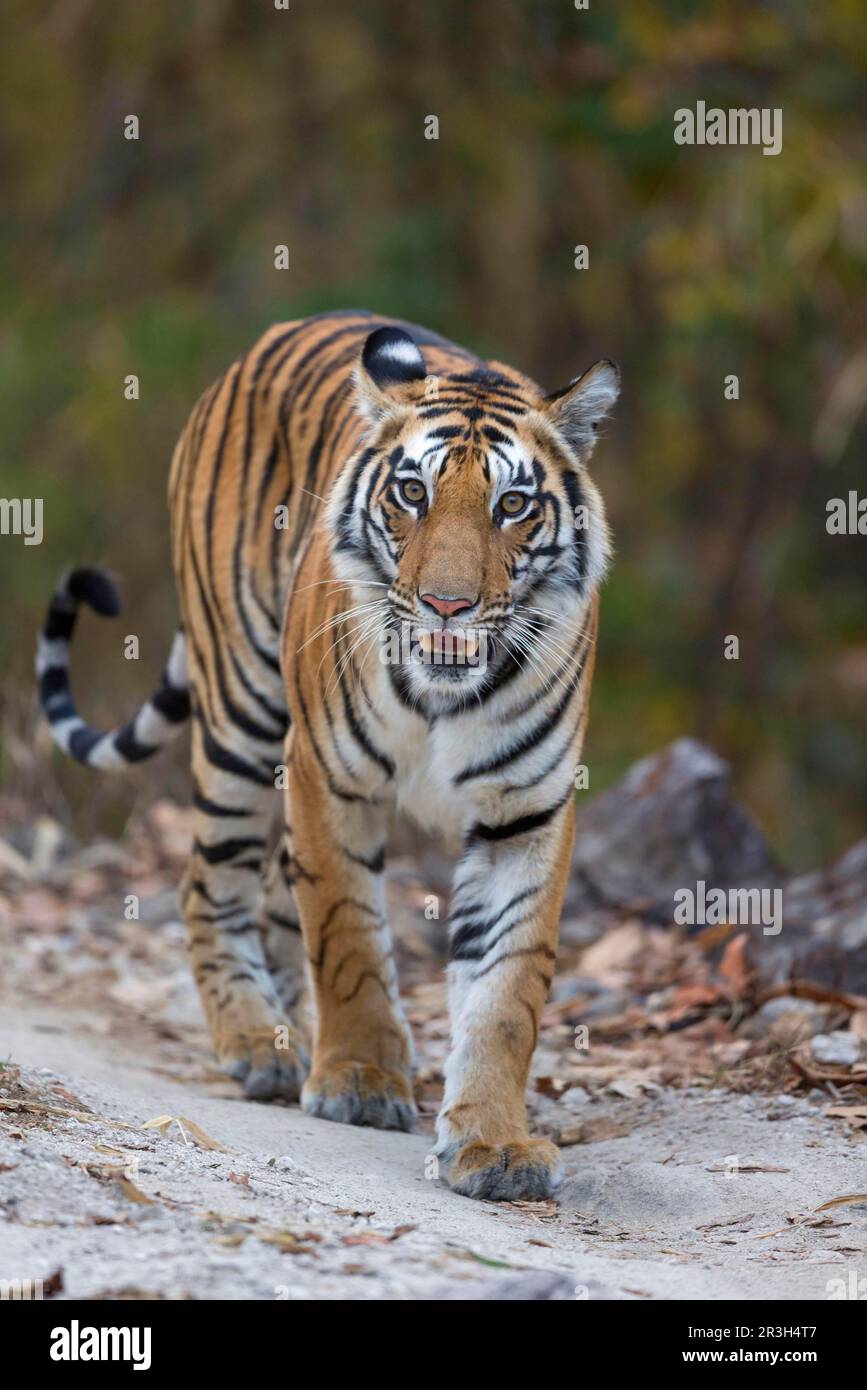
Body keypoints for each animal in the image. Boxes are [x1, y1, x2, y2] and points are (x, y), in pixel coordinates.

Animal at [37, 310, 619, 1200]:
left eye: (512, 504)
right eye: (412, 493)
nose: (446, 603)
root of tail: (281, 329)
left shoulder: (525, 811)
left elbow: (506, 992)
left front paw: (493, 1143)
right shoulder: (326, 773)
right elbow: (346, 936)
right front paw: (359, 1081)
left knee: (277, 898)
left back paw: (285, 1029)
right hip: (242, 707)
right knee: (208, 881)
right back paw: (254, 1043)